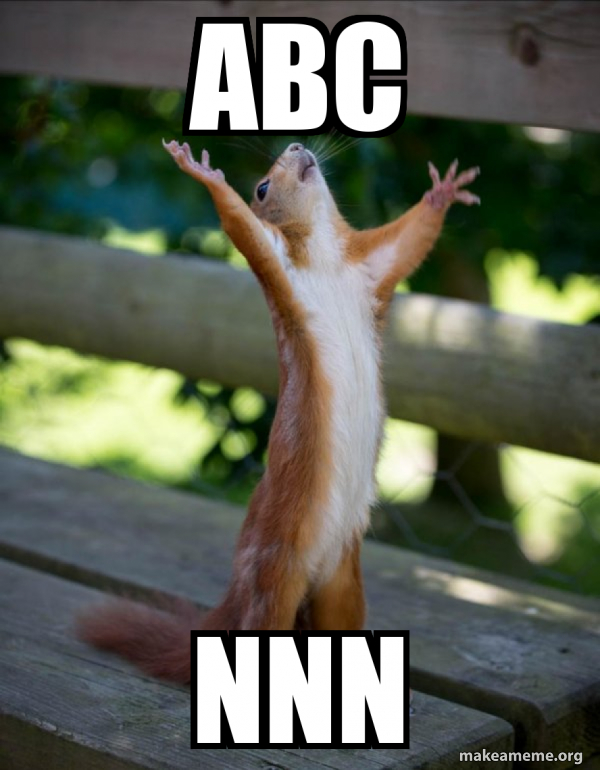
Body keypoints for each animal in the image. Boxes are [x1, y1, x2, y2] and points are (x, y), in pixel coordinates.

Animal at [77, 139, 480, 684]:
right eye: (262, 187)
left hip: (344, 589)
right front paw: (204, 173)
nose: (295, 145)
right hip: (274, 577)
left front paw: (442, 193)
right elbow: (241, 226)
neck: (327, 259)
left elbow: (410, 239)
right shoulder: (278, 265)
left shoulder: (372, 266)